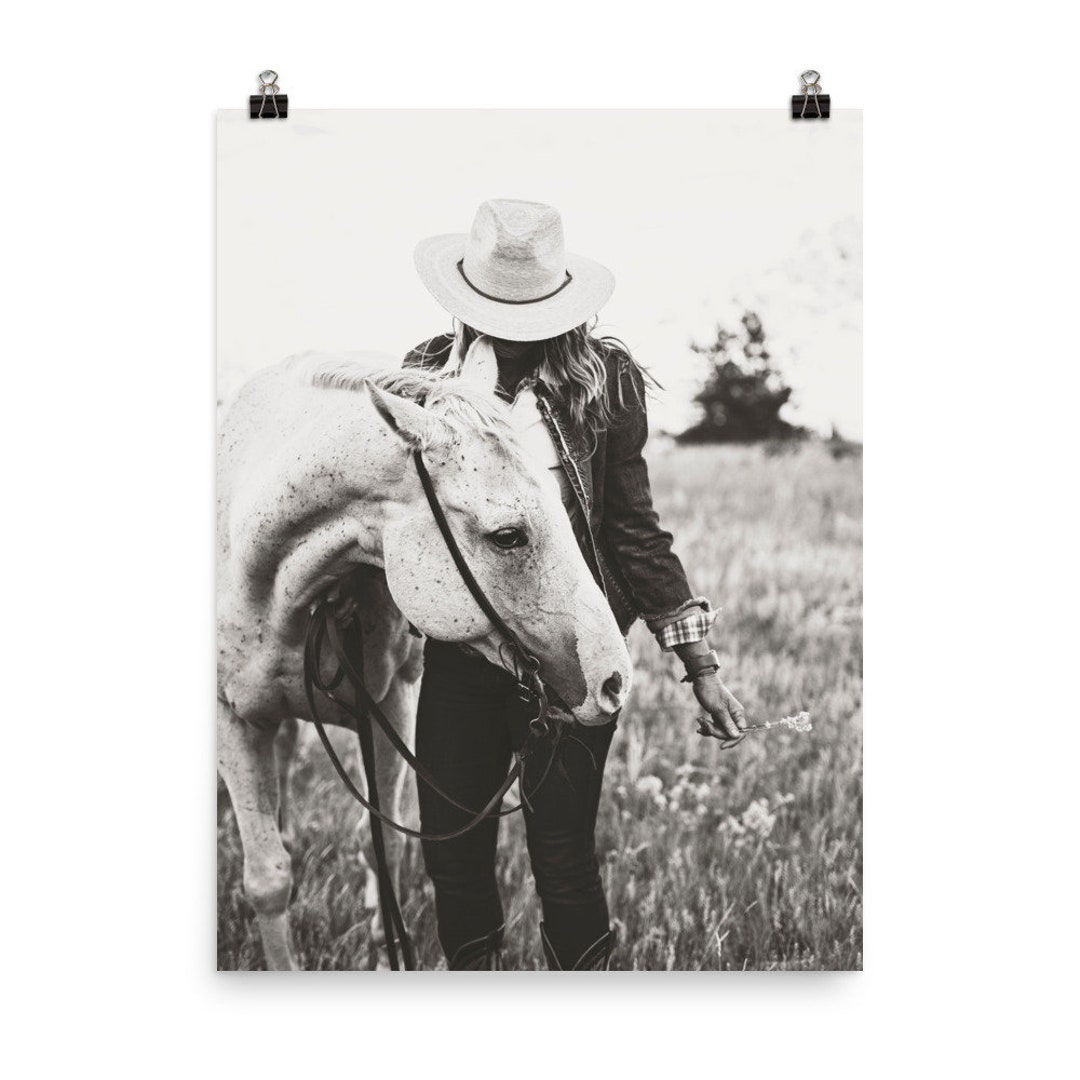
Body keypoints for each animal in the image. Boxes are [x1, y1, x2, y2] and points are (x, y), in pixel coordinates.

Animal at [217, 339, 632, 970]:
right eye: (507, 536)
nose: (613, 680)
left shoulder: (387, 710)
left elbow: (382, 845)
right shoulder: (234, 722)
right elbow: (267, 878)